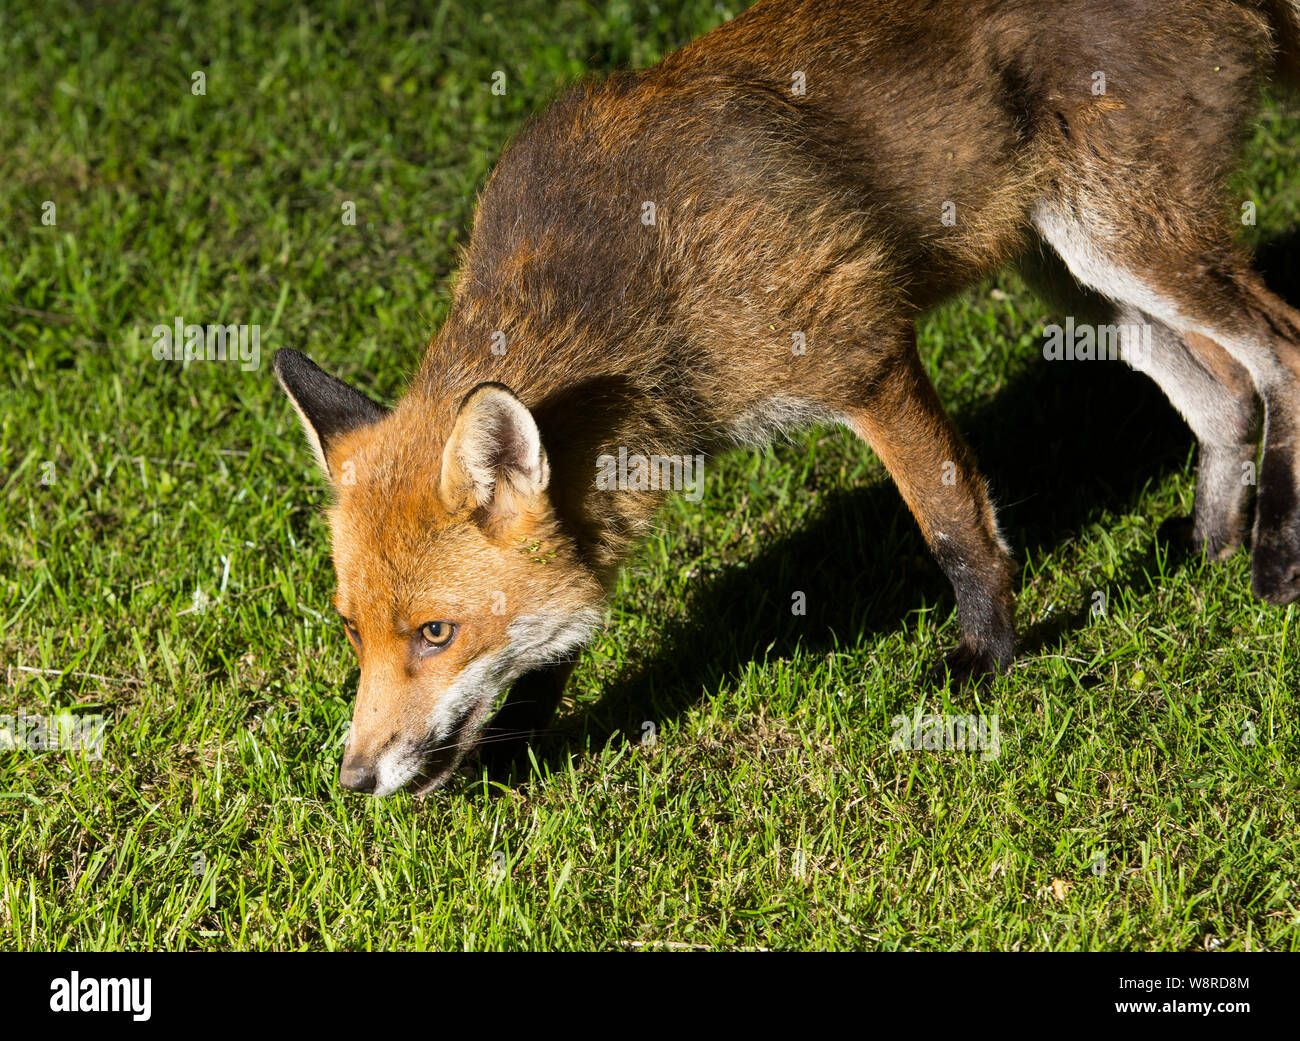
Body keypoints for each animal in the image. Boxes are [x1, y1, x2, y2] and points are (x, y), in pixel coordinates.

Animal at [275, 0, 1300, 796]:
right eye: (352, 630)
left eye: (435, 632)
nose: (354, 781)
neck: (638, 285)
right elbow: (558, 624)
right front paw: (517, 745)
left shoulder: (864, 357)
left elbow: (956, 526)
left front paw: (986, 659)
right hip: (1081, 278)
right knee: (1223, 396)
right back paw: (1208, 544)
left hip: (1130, 241)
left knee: (1280, 353)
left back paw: (1273, 560)